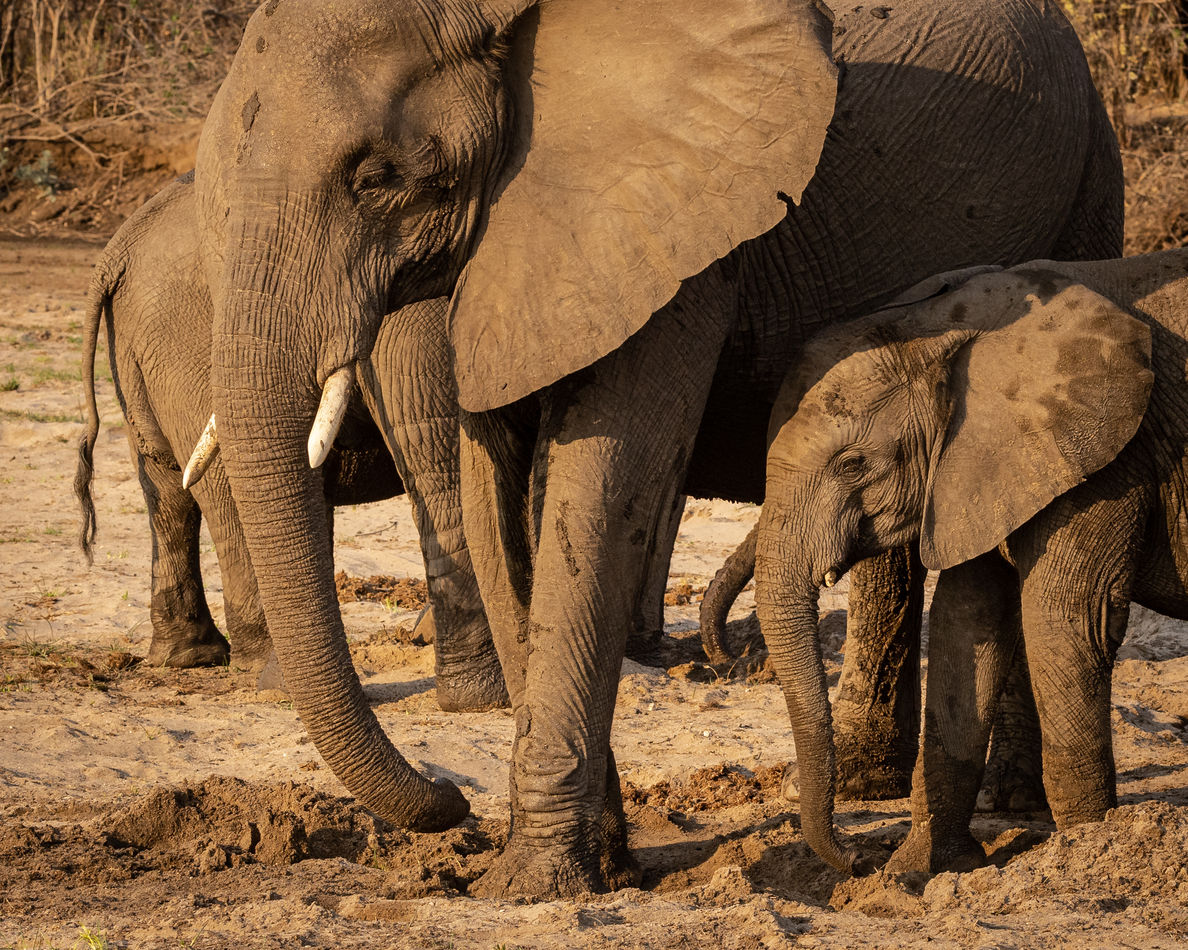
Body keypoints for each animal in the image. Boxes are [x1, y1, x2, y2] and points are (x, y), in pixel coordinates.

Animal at [75, 173, 507, 711]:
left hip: (150, 349)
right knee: (224, 491)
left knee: (168, 487)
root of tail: (120, 245)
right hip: (185, 341)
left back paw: (192, 658)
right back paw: (260, 664)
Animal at [188, 0, 1122, 896]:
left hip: (1091, 189)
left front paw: (534, 884)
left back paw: (1014, 806)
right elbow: (494, 497)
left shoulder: (680, 240)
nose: (450, 798)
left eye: (377, 179)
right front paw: (600, 863)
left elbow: (601, 490)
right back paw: (871, 786)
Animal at [752, 251, 1188, 874]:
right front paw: (917, 874)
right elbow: (967, 621)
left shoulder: (1108, 461)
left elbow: (1065, 622)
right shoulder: (982, 470)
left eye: (853, 464)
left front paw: (1091, 853)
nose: (855, 859)